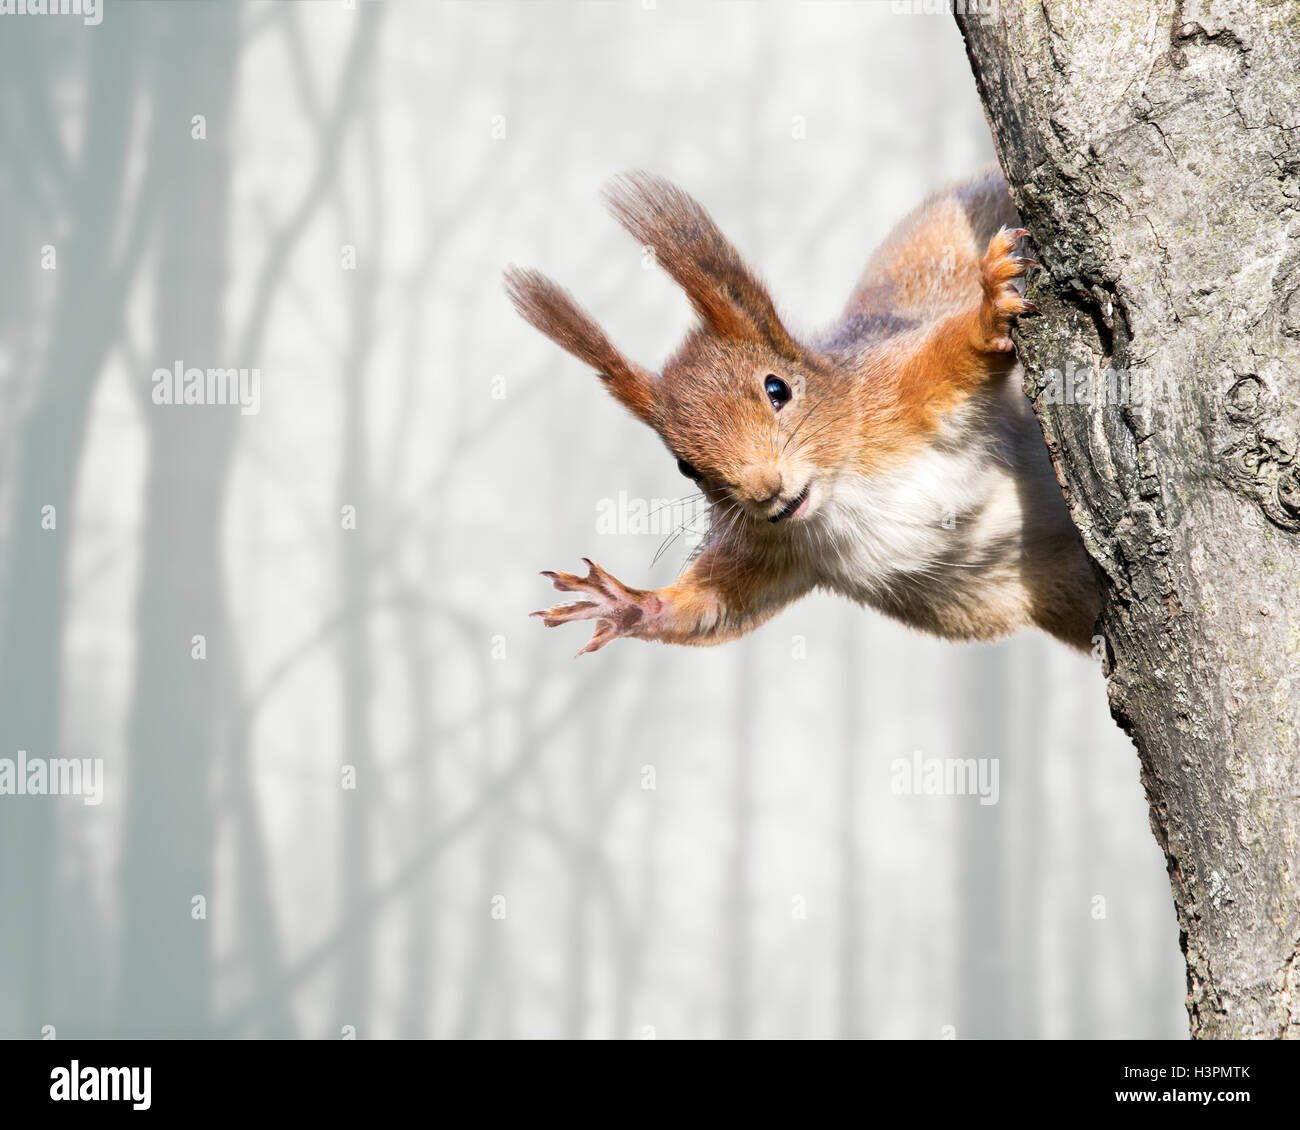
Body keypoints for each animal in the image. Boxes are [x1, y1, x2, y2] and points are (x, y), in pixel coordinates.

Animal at [505, 166, 1101, 656]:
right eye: (685, 467)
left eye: (778, 389)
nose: (765, 491)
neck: (841, 492)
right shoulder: (774, 548)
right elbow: (716, 606)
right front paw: (627, 604)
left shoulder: (895, 393)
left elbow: (953, 353)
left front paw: (989, 309)